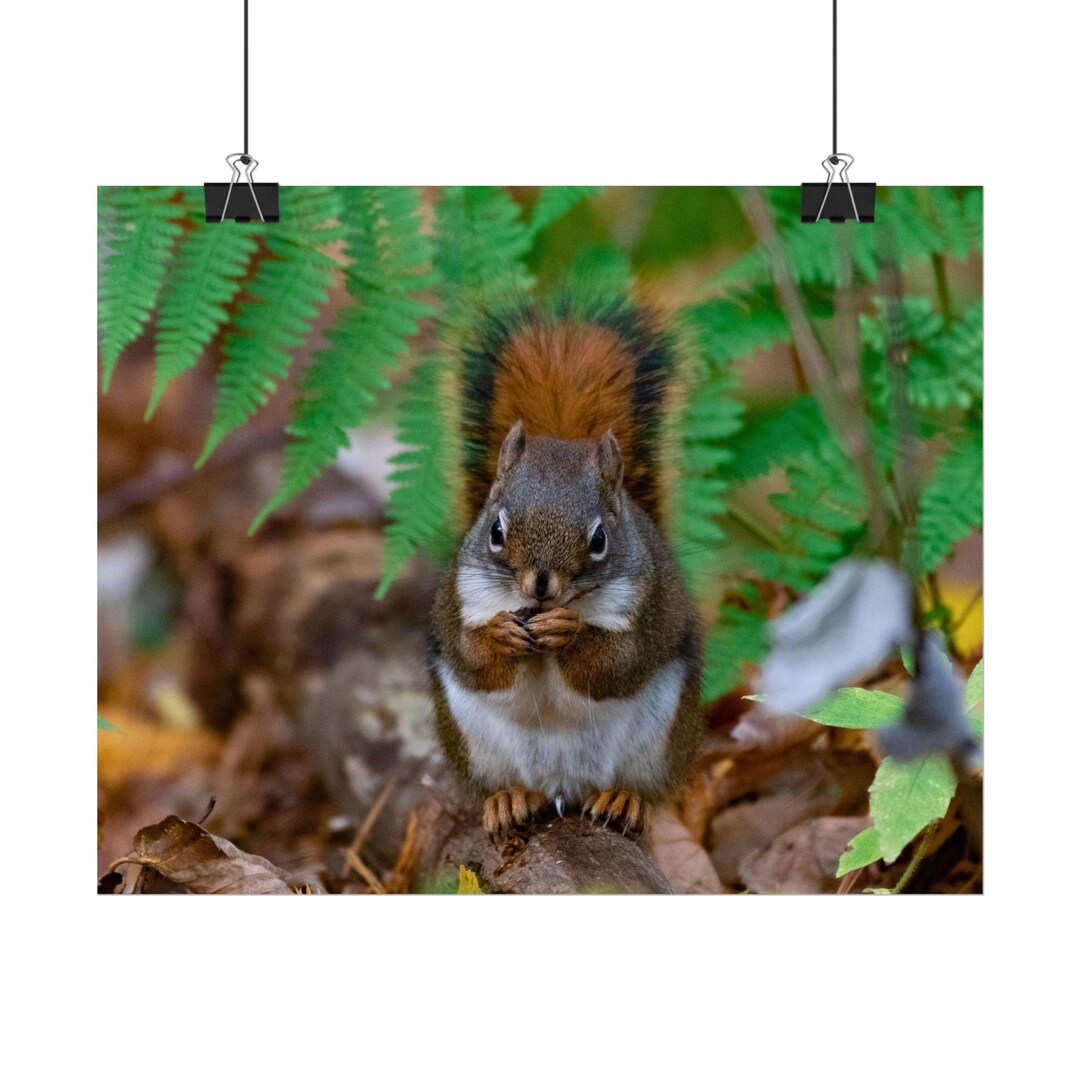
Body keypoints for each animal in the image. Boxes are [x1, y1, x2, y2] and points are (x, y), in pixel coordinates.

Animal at [429, 296, 702, 844]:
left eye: (598, 540)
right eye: (495, 530)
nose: (539, 587)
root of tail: (563, 788)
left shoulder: (644, 605)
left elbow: (615, 664)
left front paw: (568, 631)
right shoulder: (457, 596)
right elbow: (470, 655)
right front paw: (499, 634)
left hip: (658, 744)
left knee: (641, 786)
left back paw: (623, 800)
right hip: (476, 746)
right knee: (507, 782)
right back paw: (510, 799)